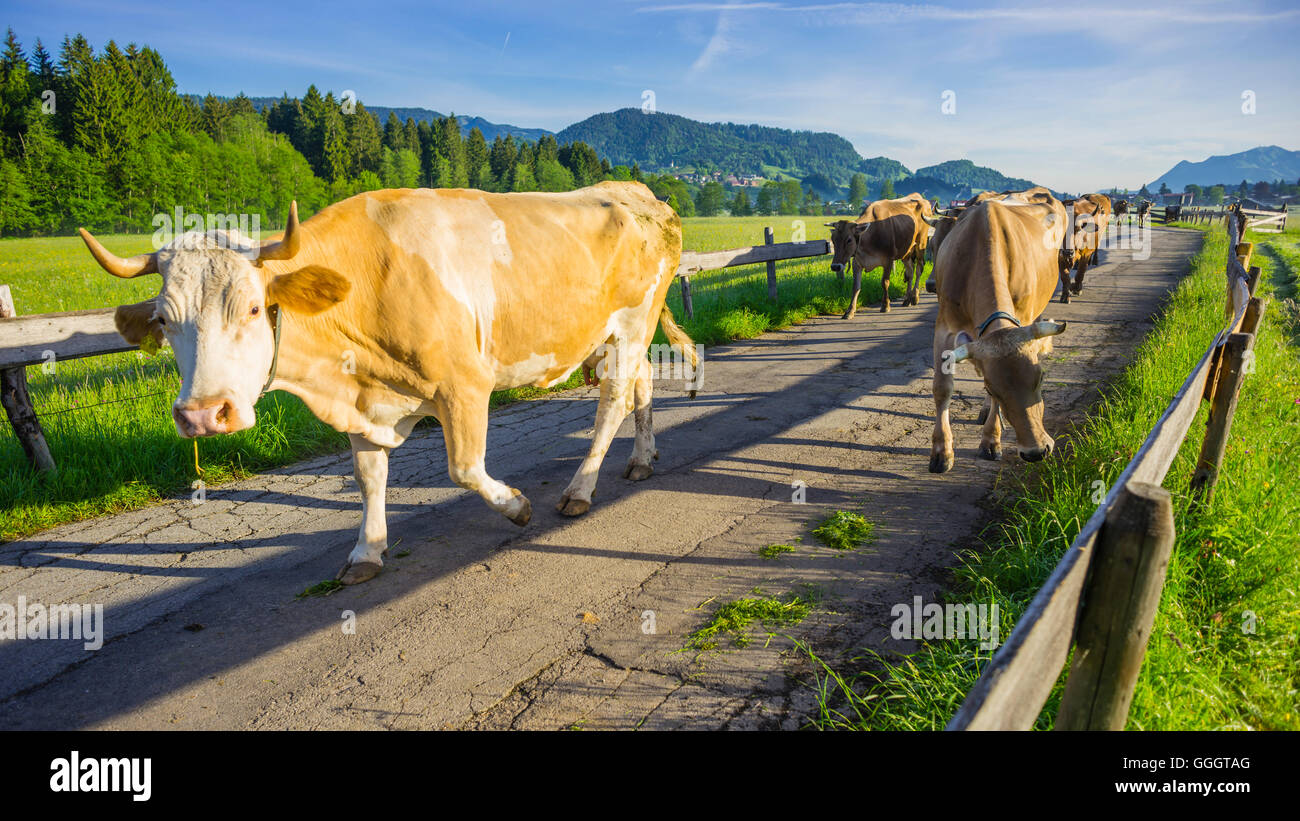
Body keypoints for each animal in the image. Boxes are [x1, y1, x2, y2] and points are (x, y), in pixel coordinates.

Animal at [79, 182, 697, 585]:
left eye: (254, 308)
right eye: (164, 320)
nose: (204, 414)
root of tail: (638, 191)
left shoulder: (464, 384)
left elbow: (464, 468)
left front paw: (517, 506)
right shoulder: (361, 400)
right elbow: (368, 477)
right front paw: (366, 551)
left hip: (632, 323)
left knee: (612, 403)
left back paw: (579, 490)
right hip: (618, 335)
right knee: (641, 388)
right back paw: (641, 458)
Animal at [925, 193, 1069, 473]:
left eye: (1041, 378)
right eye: (993, 389)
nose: (1037, 452)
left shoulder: (1023, 317)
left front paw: (991, 440)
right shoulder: (945, 327)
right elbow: (942, 388)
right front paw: (941, 451)